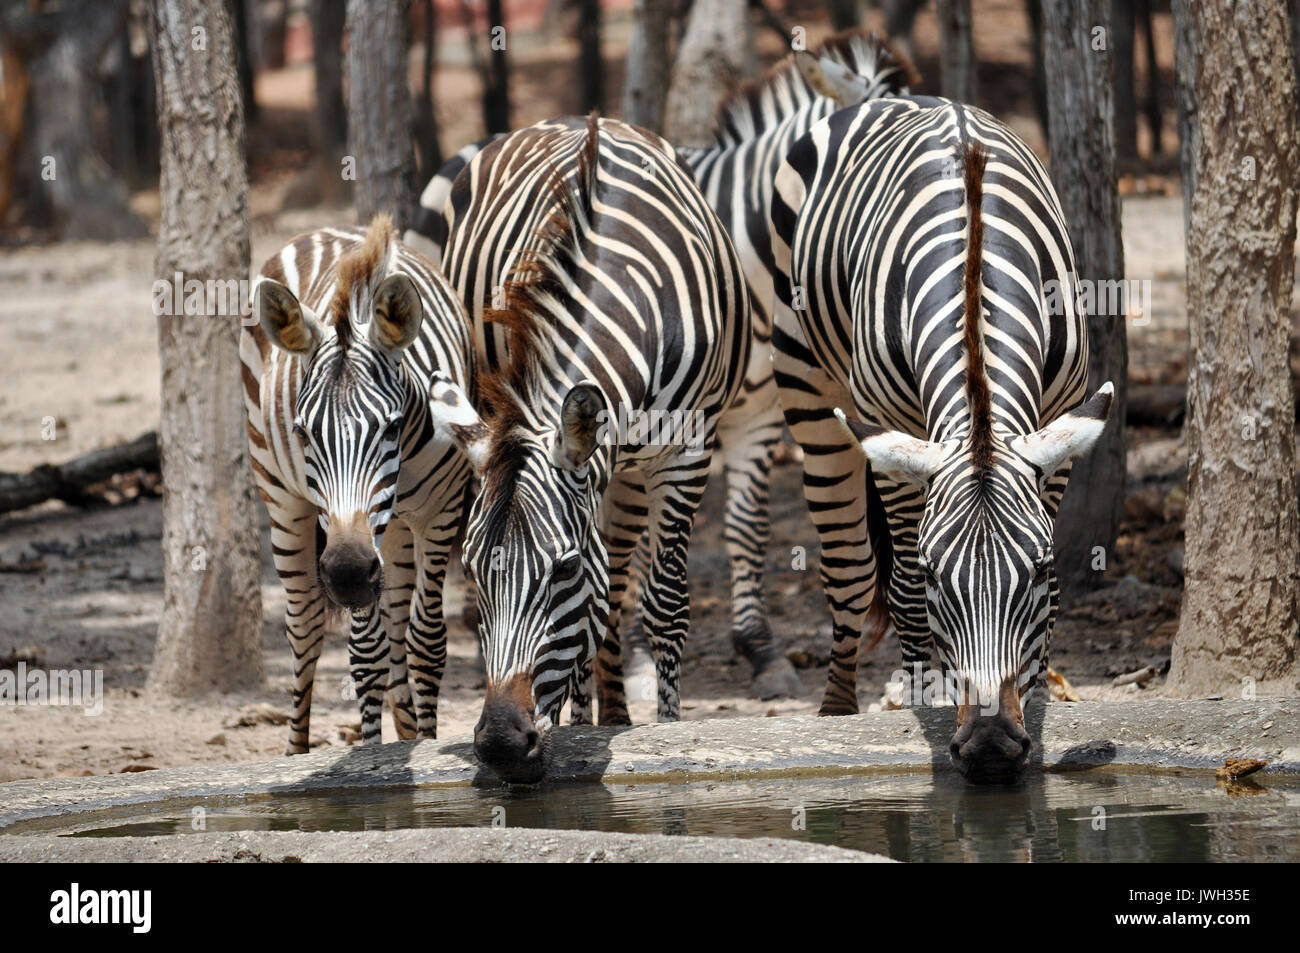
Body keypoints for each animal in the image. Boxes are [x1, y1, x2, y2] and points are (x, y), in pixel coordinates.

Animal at [240, 214, 475, 752]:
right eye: (304, 432)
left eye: (390, 427)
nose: (347, 573)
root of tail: (324, 229)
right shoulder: (347, 530)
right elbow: (367, 654)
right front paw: (371, 758)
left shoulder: (441, 511)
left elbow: (425, 642)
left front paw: (423, 743)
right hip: (281, 496)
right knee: (304, 626)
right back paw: (296, 751)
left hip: (396, 531)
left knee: (397, 621)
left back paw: (408, 732)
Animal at [429, 113, 749, 782]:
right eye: (472, 570)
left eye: (565, 570)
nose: (502, 744)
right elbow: (593, 621)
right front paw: (580, 729)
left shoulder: (688, 451)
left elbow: (664, 602)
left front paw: (668, 731)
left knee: (624, 576)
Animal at [769, 97, 1113, 782]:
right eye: (935, 574)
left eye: (1038, 569)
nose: (990, 748)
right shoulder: (891, 432)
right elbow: (901, 587)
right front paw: (923, 696)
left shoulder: (1058, 425)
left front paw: (1036, 694)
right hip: (806, 382)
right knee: (849, 568)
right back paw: (839, 710)